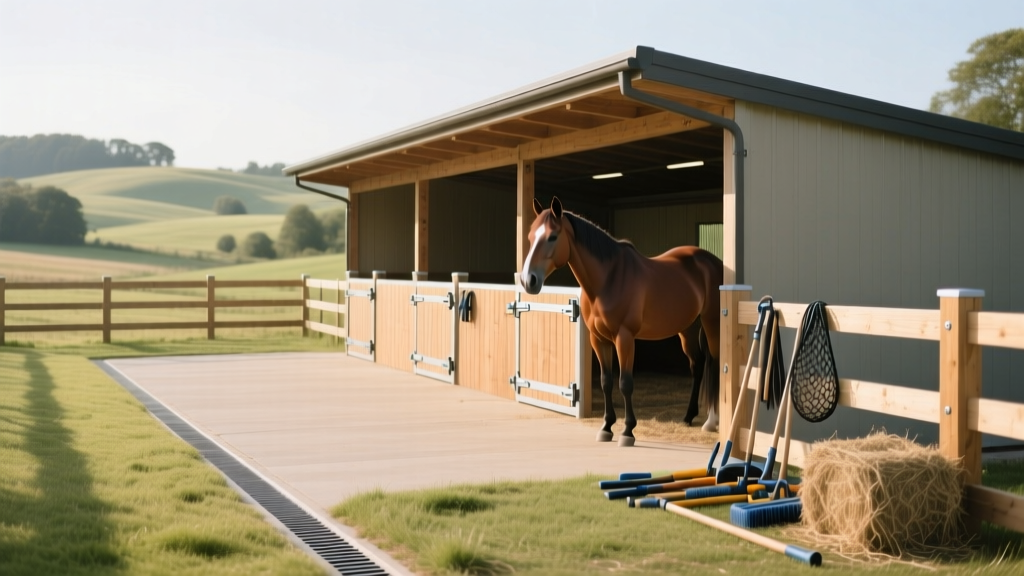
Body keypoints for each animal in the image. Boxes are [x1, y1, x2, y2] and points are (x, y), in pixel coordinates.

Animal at [520, 196, 723, 447]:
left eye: (552, 237)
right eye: (530, 237)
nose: (528, 280)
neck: (609, 278)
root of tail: (713, 262)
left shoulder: (624, 338)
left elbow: (625, 383)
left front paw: (628, 431)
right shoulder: (599, 339)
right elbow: (606, 381)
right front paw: (606, 428)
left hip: (712, 322)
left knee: (716, 362)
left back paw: (711, 422)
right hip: (688, 329)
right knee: (698, 365)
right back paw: (688, 417)